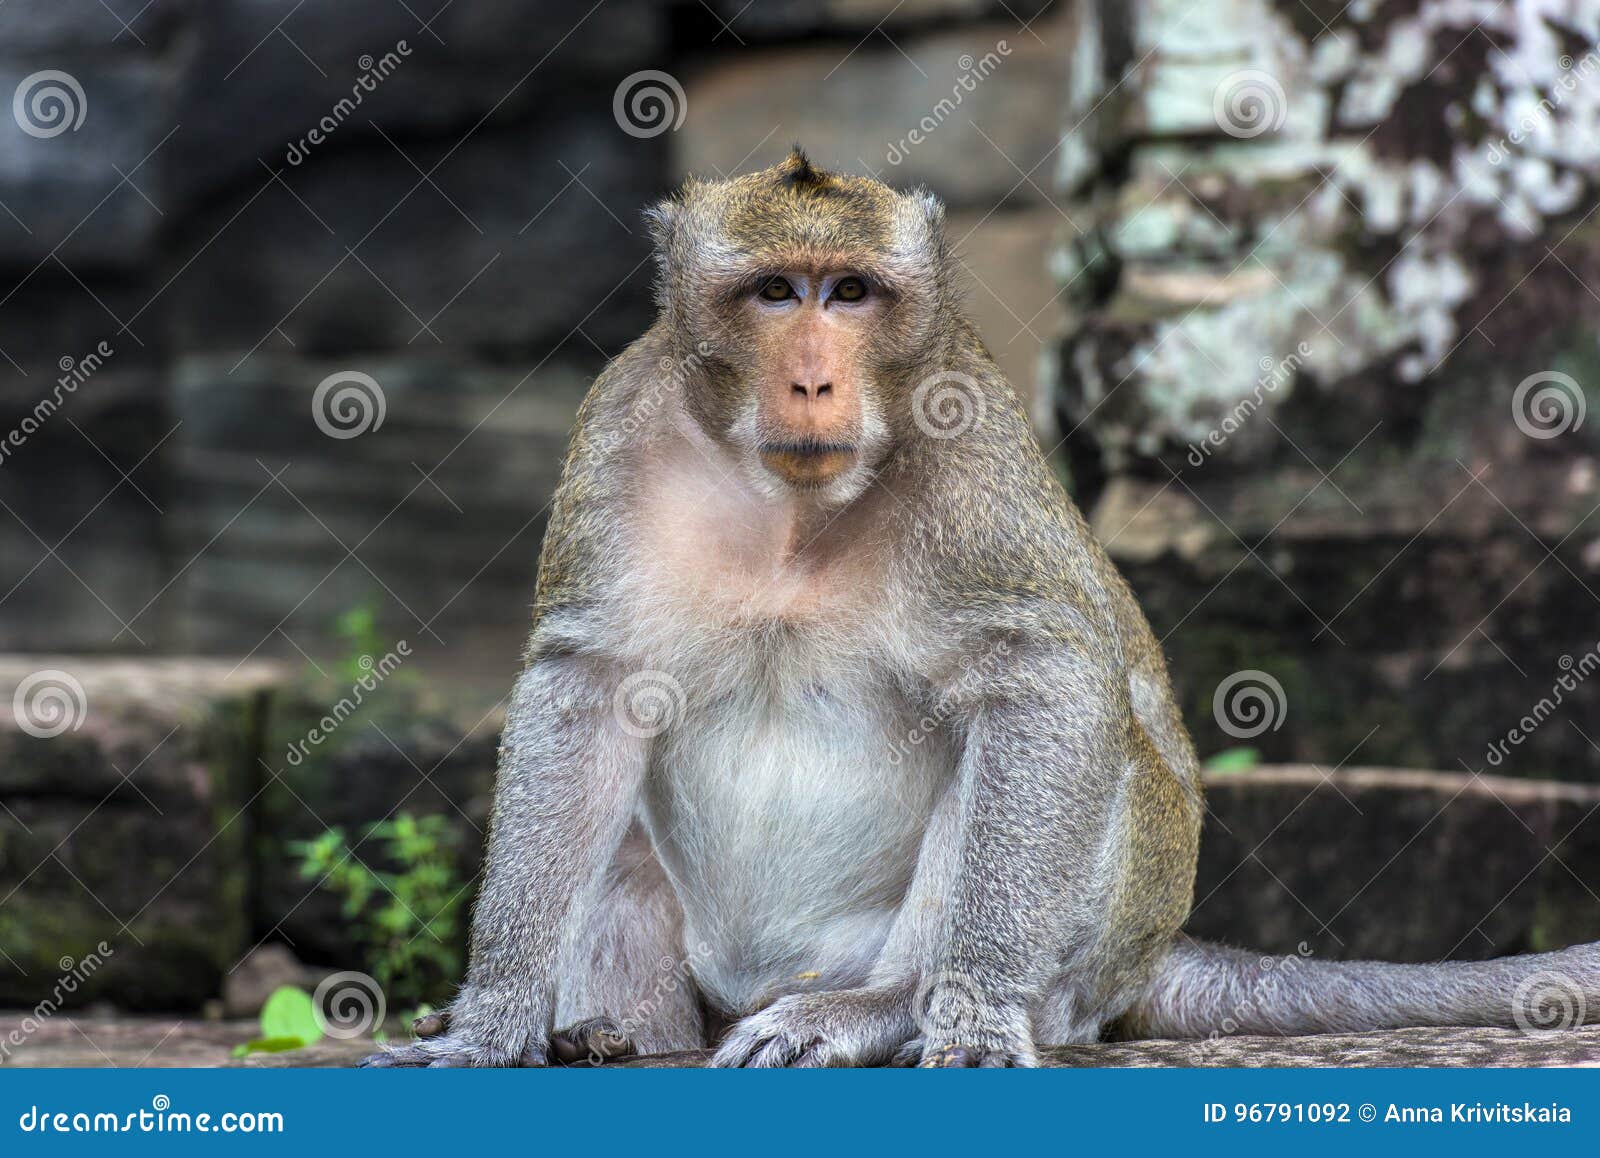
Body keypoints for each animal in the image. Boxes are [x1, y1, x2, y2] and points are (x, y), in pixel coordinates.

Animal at [362, 150, 1600, 1068]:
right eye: (774, 292)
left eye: (851, 292)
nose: (811, 379)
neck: (792, 510)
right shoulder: (617, 430)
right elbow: (587, 689)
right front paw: (492, 1018)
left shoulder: (972, 451)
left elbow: (1045, 678)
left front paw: (967, 1010)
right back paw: (610, 1032)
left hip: (1080, 941)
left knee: (1050, 745)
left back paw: (877, 1008)